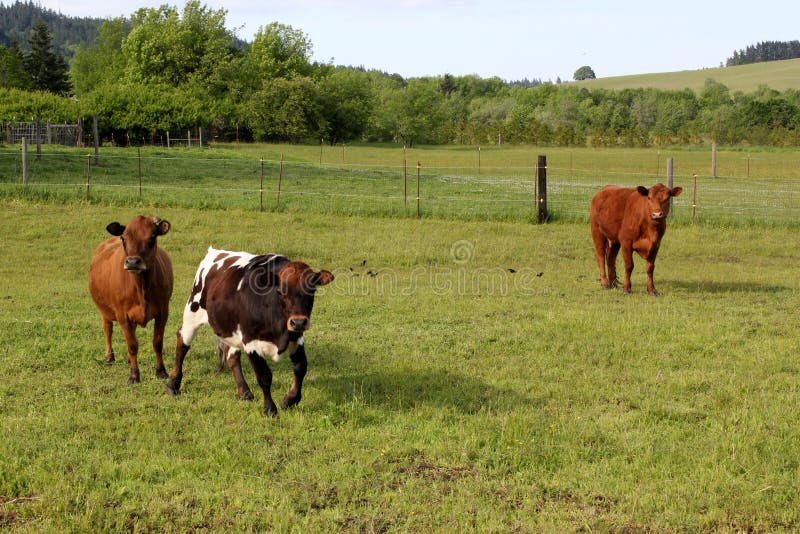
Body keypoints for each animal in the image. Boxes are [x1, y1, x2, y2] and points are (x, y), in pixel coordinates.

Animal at [88, 216, 173, 384]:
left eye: (152, 237)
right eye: (123, 238)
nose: (133, 262)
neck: (141, 287)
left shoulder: (163, 313)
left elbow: (157, 343)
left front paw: (161, 371)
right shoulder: (122, 315)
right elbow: (133, 345)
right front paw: (134, 375)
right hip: (105, 311)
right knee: (108, 329)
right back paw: (109, 357)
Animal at [166, 247, 334, 417]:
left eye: (312, 290)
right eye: (280, 291)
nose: (298, 322)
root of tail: (216, 251)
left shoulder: (296, 338)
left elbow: (301, 367)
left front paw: (290, 399)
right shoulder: (251, 341)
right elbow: (264, 376)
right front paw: (269, 408)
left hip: (232, 330)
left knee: (232, 356)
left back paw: (244, 392)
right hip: (192, 313)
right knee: (182, 342)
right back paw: (173, 385)